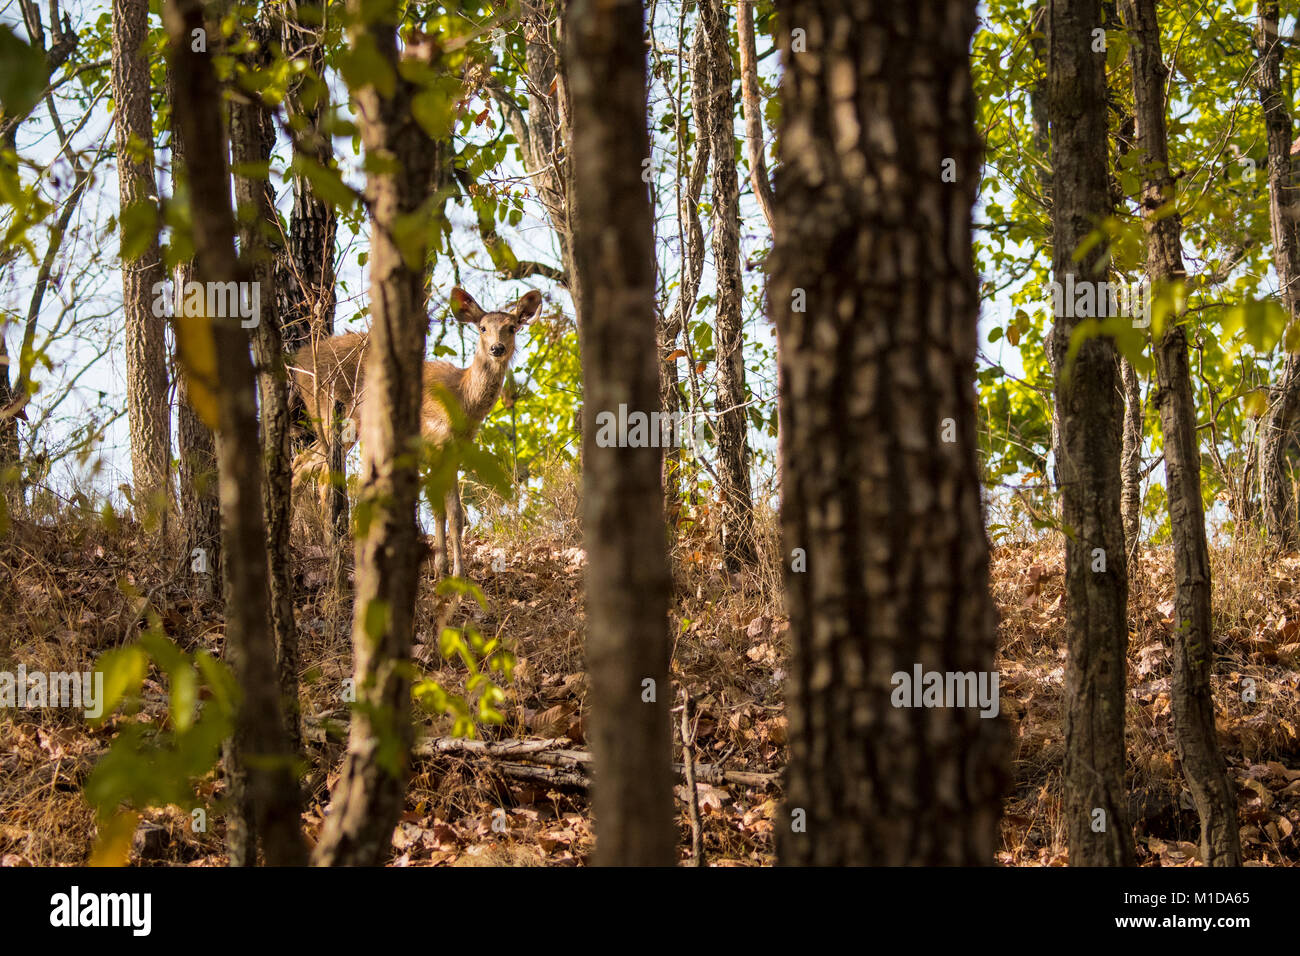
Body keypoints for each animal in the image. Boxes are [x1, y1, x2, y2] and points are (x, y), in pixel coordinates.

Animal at [288, 286, 543, 577]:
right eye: (482, 327)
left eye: (511, 327)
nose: (497, 348)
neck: (462, 400)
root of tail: (299, 362)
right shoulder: (432, 444)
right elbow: (439, 510)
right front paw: (442, 569)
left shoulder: (453, 453)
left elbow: (456, 514)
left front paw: (457, 573)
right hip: (338, 415)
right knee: (316, 468)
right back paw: (330, 544)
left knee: (304, 464)